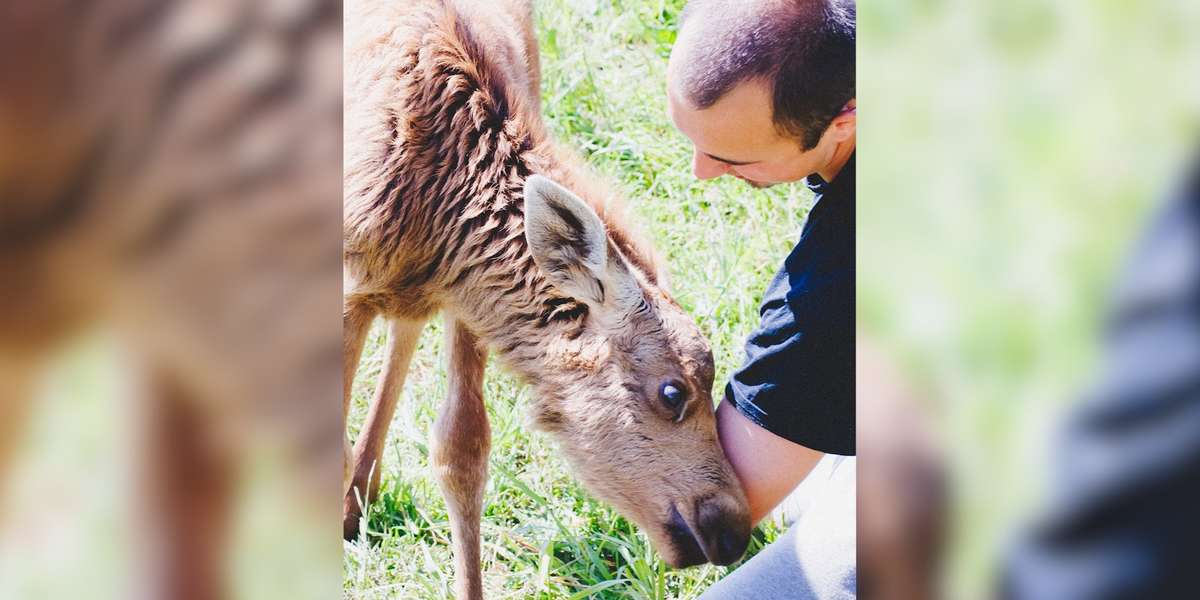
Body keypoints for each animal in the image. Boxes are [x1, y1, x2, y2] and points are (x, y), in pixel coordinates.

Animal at [342, 0, 753, 597]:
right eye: (673, 392)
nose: (735, 527)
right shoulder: (350, 284)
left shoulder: (468, 301)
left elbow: (462, 451)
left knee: (406, 326)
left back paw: (360, 493)